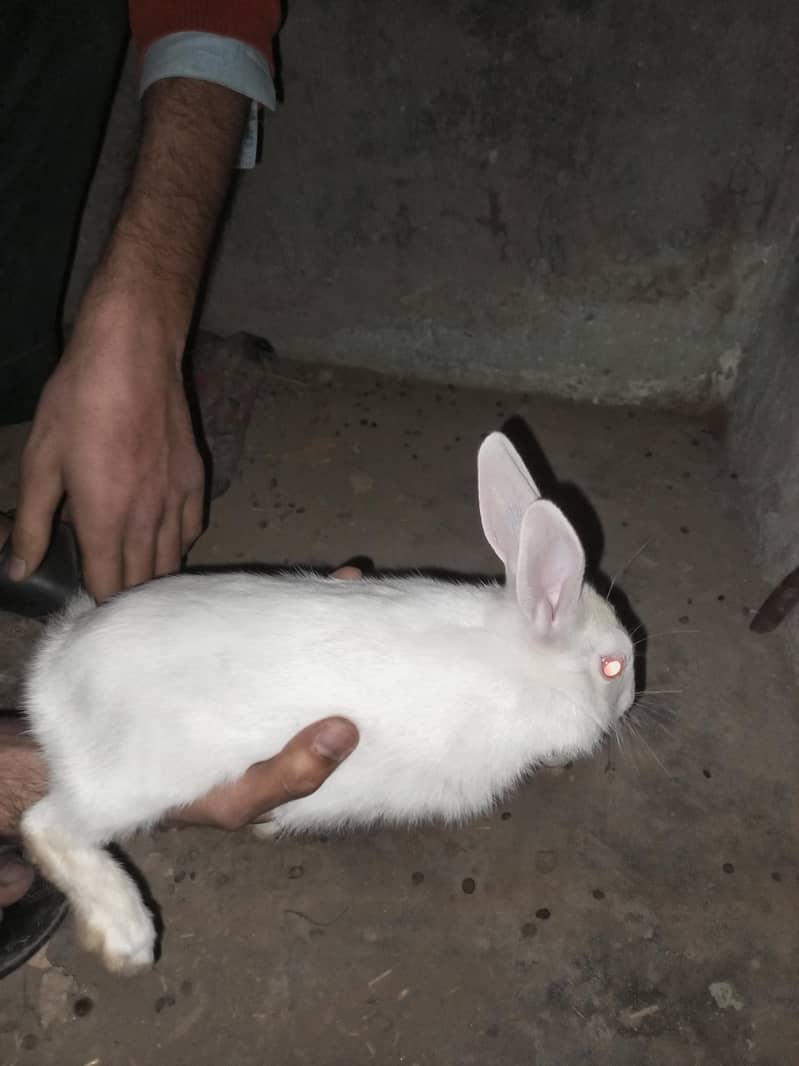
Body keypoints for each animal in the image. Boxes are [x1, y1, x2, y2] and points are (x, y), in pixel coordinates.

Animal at [20, 432, 635, 975]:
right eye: (612, 666)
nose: (630, 698)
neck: (520, 664)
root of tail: (53, 676)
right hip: (140, 778)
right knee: (46, 826)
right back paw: (127, 936)